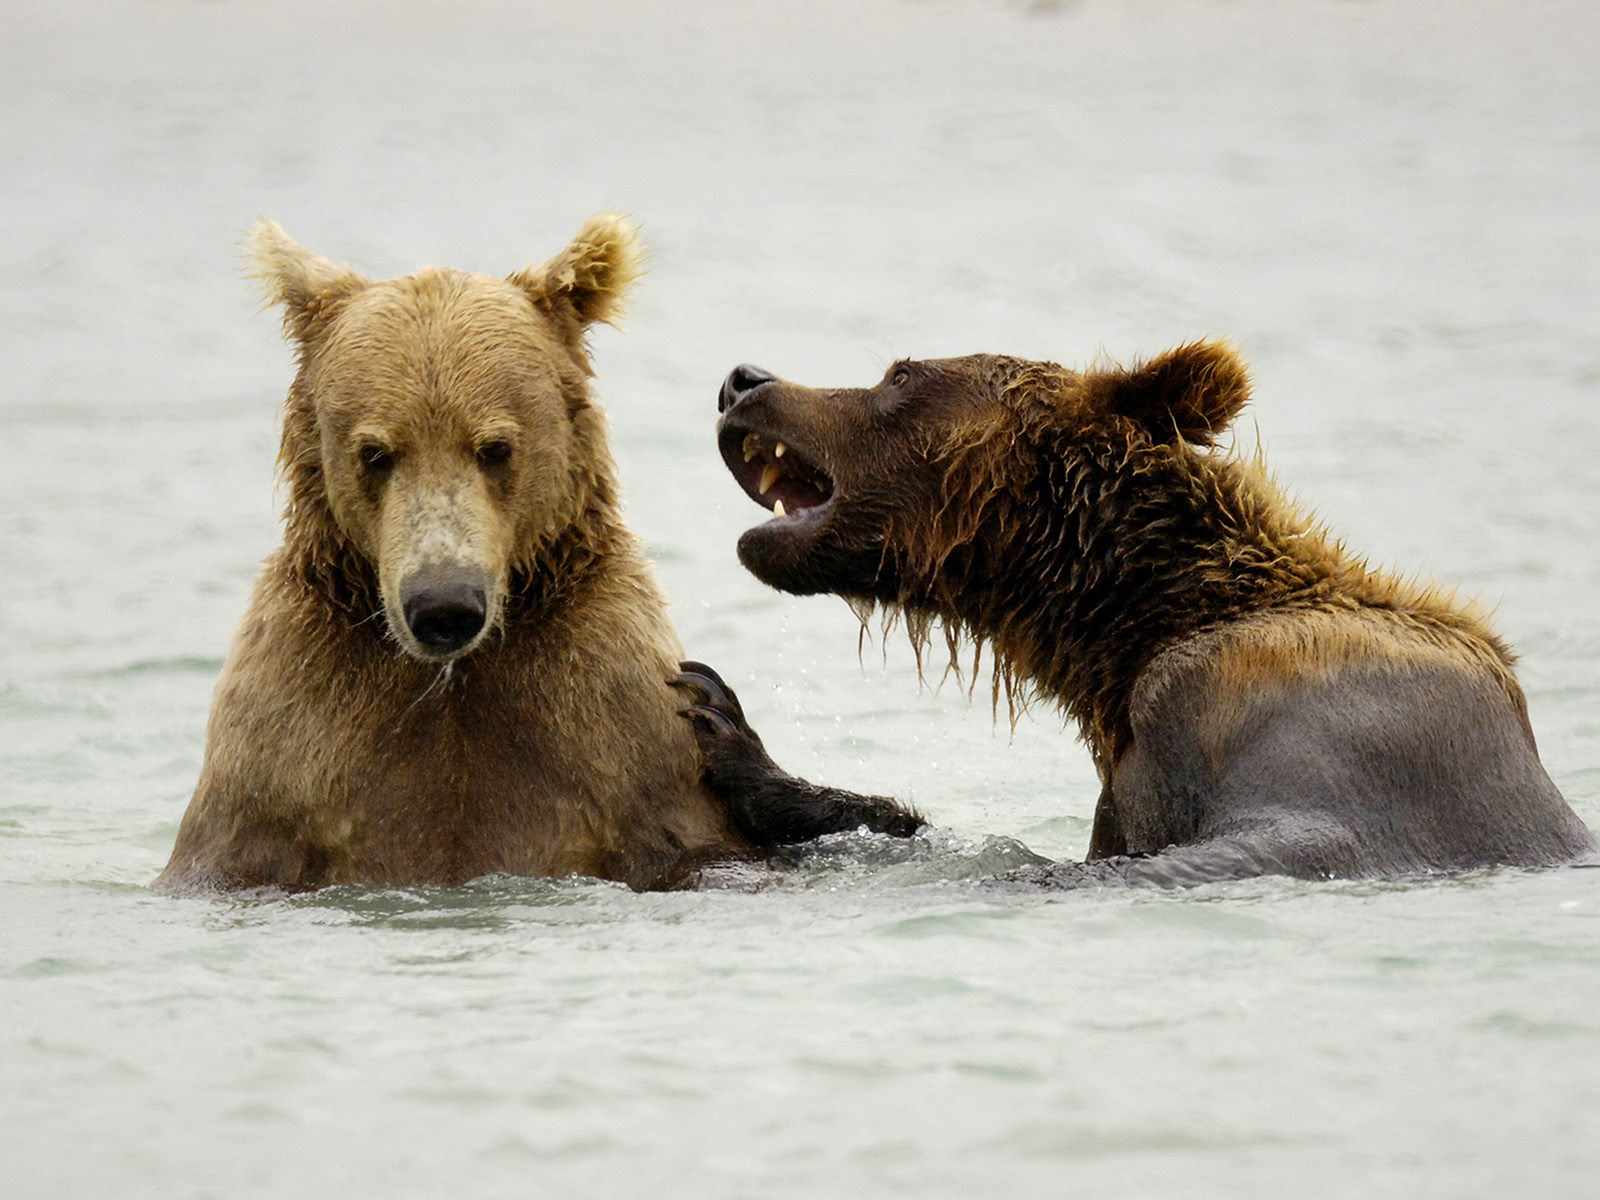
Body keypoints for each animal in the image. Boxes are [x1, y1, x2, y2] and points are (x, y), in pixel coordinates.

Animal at [158, 216, 918, 894]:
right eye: (375, 452)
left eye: (494, 446)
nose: (444, 605)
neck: (452, 679)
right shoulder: (290, 747)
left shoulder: (610, 723)